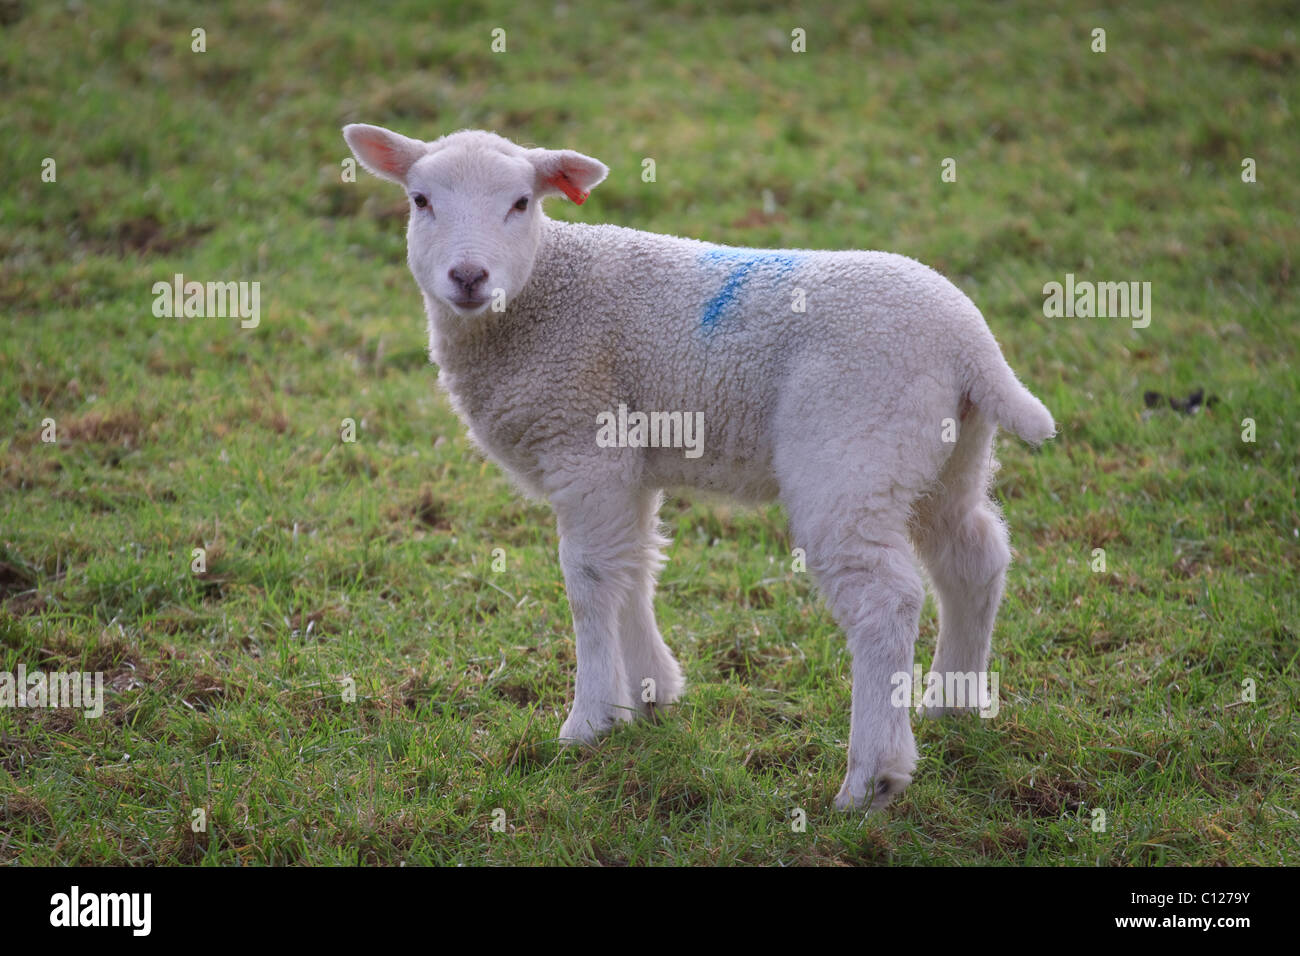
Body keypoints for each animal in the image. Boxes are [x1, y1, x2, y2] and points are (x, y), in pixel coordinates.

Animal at [342, 124, 1055, 811]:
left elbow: (589, 578)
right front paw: (650, 691)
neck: (540, 294)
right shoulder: (625, 457)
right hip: (945, 454)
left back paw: (870, 779)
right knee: (973, 556)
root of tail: (970, 344)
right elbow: (634, 566)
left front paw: (588, 720)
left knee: (886, 600)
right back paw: (952, 704)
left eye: (521, 203)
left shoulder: (583, 442)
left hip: (852, 452)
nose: (468, 276)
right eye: (420, 201)